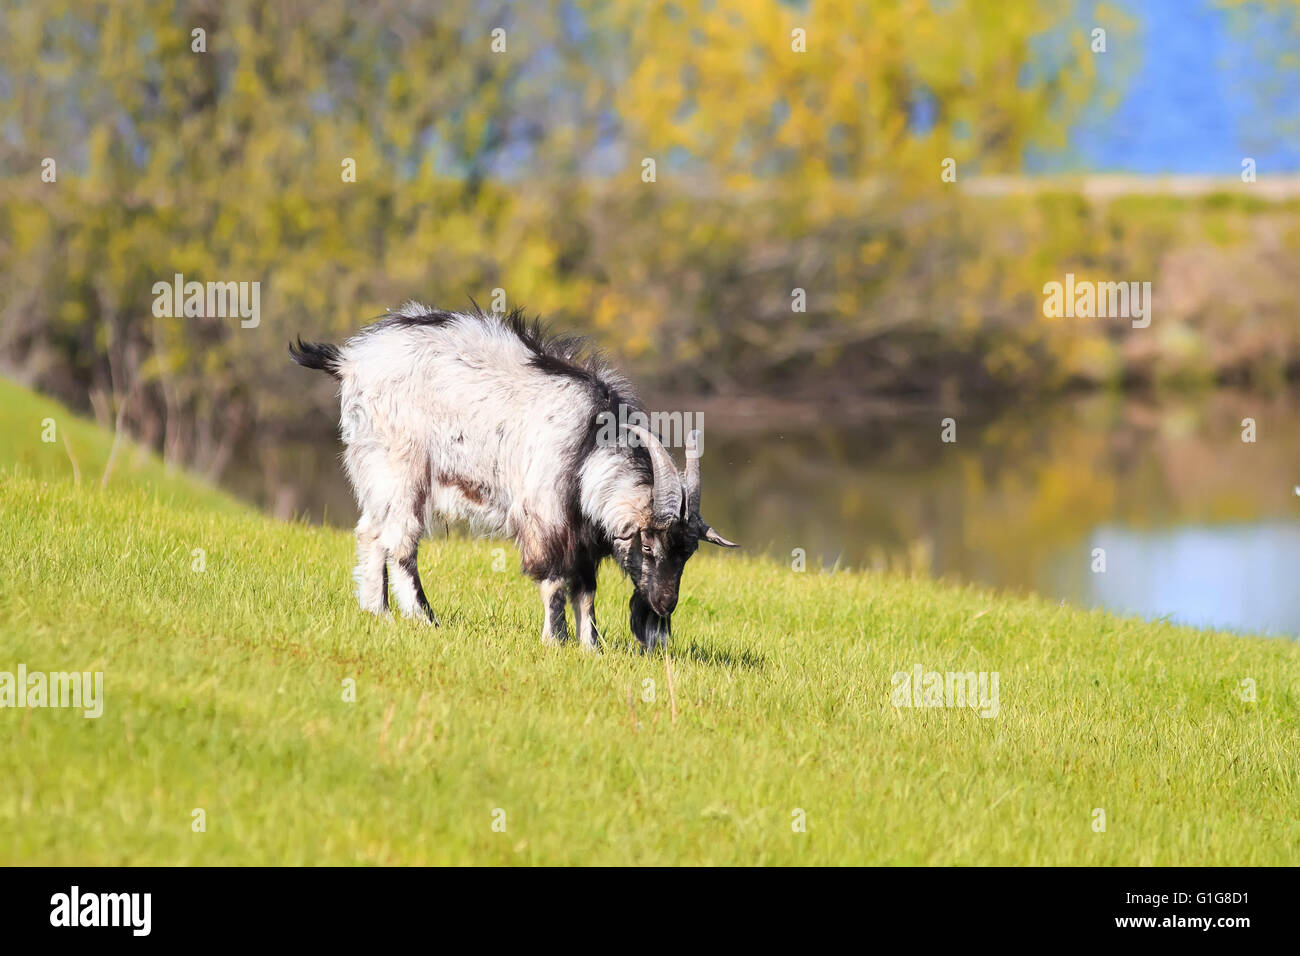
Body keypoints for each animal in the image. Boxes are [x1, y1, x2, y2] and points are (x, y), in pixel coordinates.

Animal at [289, 302, 737, 651]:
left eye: (687, 553)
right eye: (648, 547)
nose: (664, 606)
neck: (587, 445)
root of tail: (350, 361)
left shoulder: (582, 535)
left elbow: (586, 591)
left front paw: (592, 647)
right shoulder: (546, 518)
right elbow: (555, 582)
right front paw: (556, 641)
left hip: (374, 468)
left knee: (370, 531)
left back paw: (377, 612)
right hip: (401, 464)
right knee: (400, 540)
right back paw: (425, 618)